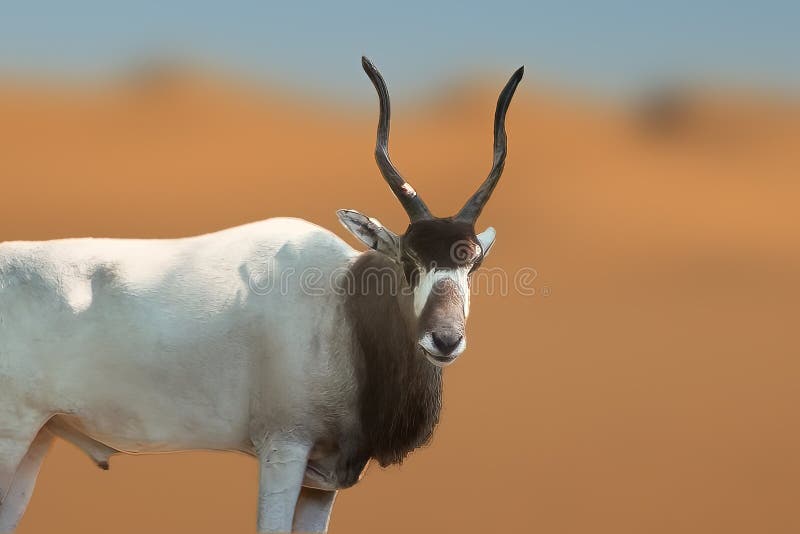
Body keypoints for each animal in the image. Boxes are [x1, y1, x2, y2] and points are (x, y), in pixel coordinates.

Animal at [0, 57, 522, 533]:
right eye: (408, 262)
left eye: (473, 261)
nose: (445, 340)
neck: (340, 302)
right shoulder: (284, 450)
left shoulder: (323, 479)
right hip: (13, 437)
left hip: (39, 437)